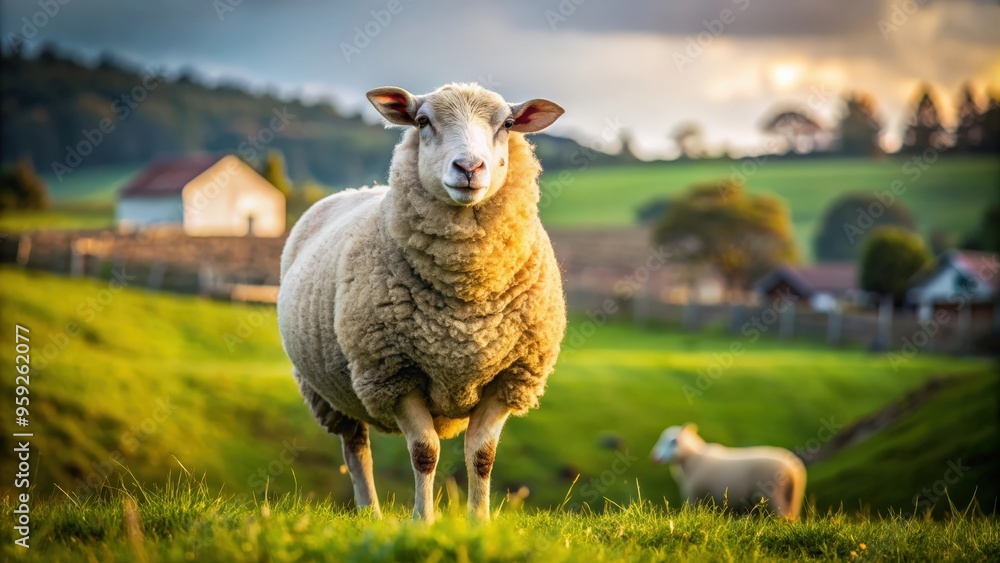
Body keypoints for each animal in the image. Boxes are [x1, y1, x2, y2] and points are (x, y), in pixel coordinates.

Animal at [277, 83, 567, 522]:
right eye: (423, 121)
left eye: (508, 124)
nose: (469, 168)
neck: (466, 297)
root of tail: (355, 191)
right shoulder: (394, 373)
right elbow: (424, 453)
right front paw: (423, 521)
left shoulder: (510, 378)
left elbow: (482, 456)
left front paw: (479, 522)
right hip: (330, 392)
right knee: (356, 449)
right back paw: (371, 513)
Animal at [650, 424, 806, 520]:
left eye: (674, 441)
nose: (655, 458)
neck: (694, 459)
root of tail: (793, 471)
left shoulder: (693, 495)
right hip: (793, 498)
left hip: (776, 496)